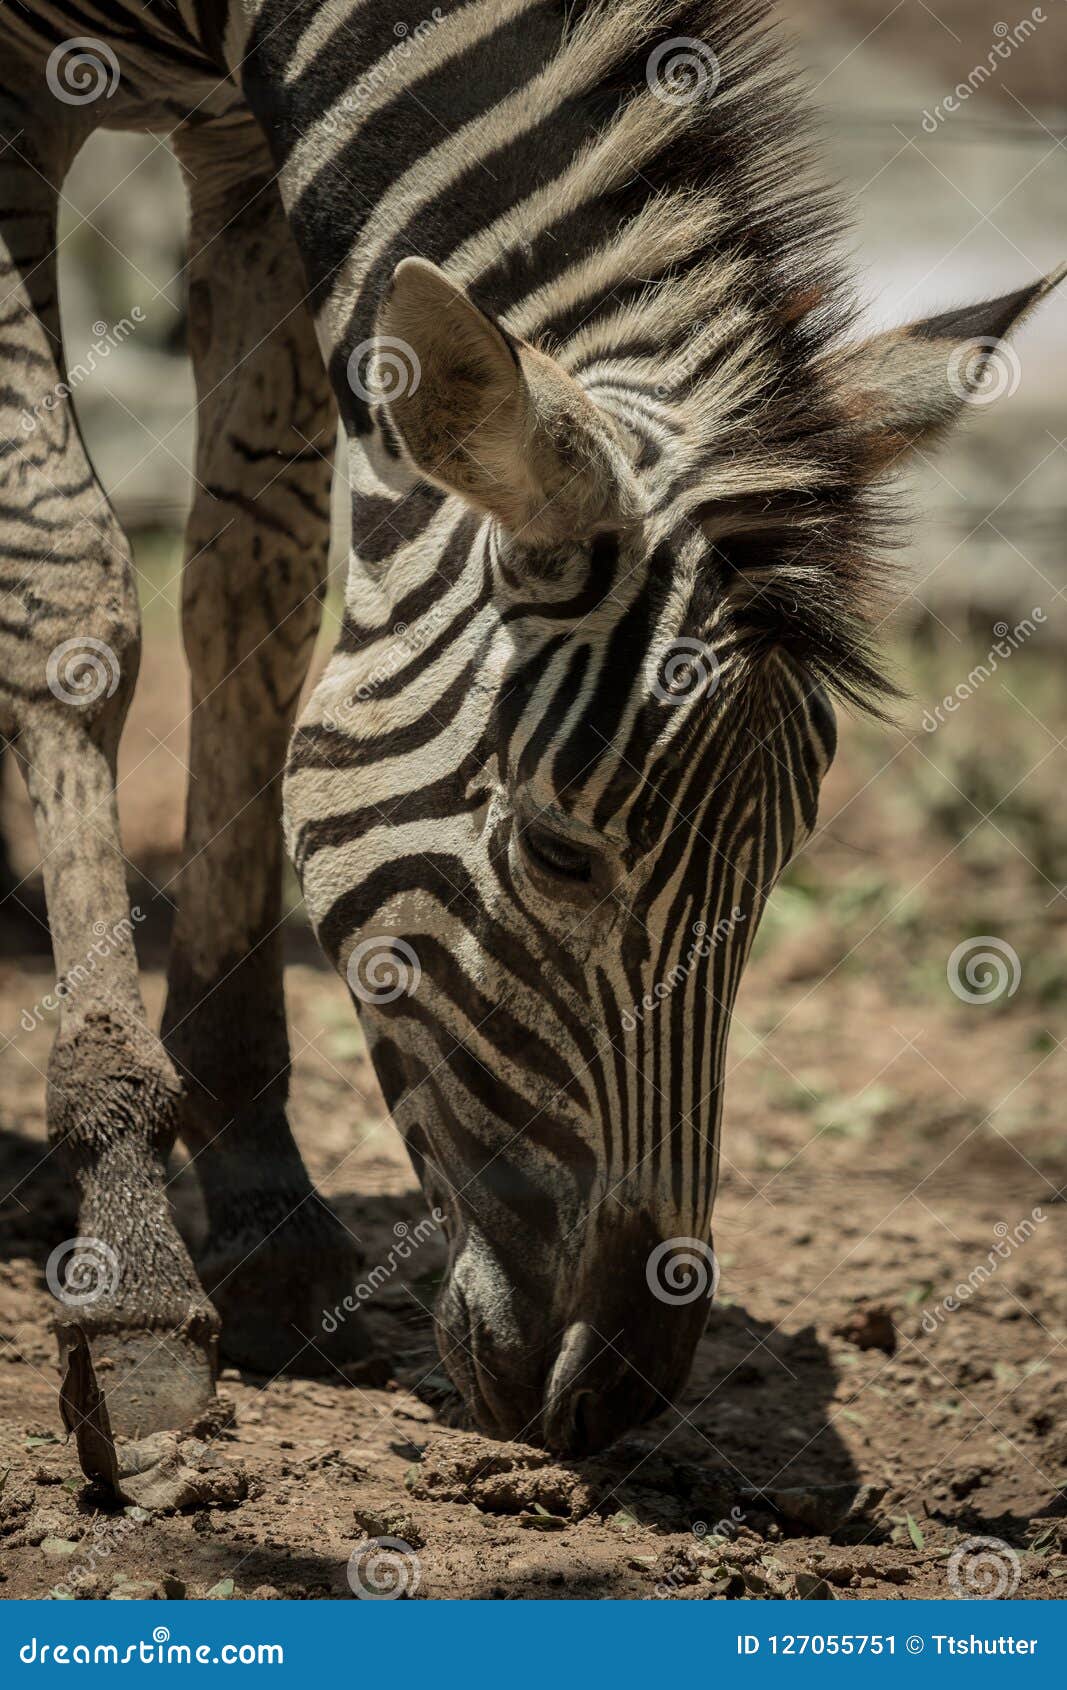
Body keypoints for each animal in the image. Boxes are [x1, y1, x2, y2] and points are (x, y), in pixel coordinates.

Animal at [1, 0, 1059, 1456]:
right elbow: (67, 586)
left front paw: (265, 1206)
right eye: (559, 854)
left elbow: (256, 584)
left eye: (776, 870)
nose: (618, 1393)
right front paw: (134, 1267)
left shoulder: (251, 145)